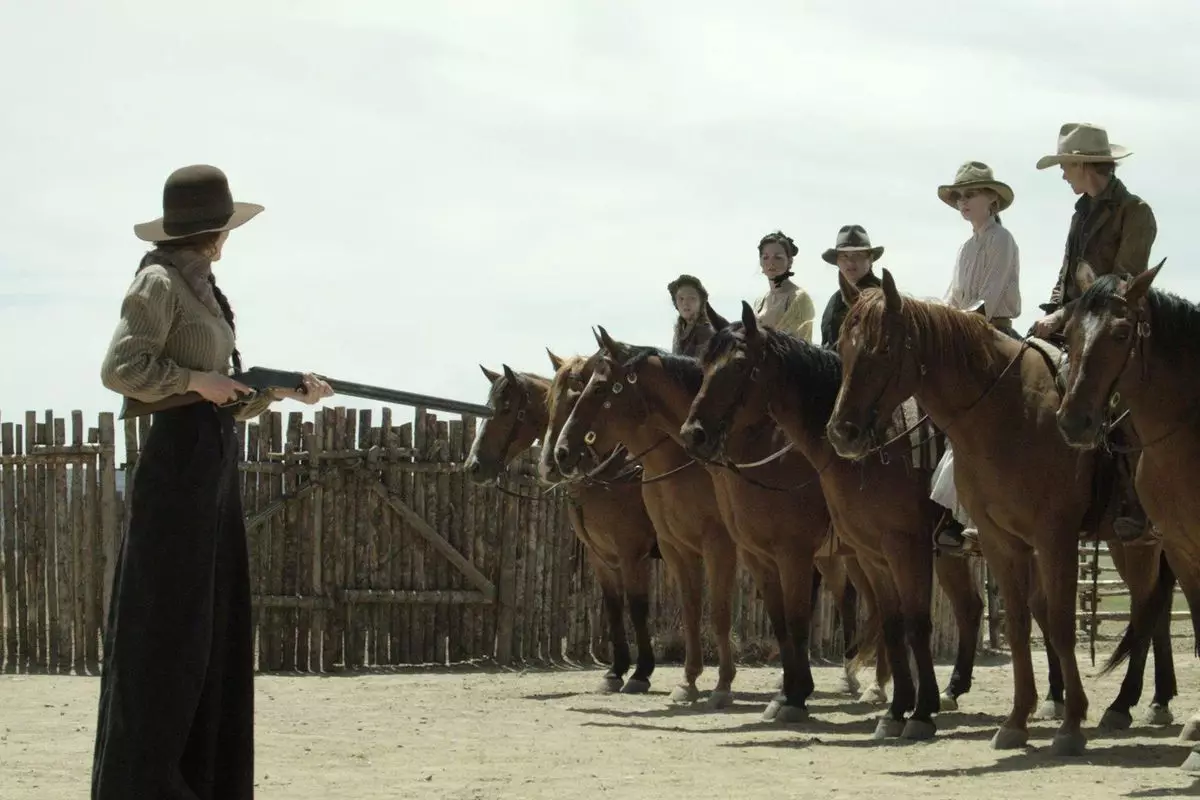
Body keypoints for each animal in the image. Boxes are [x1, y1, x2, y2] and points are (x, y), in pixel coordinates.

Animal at [463, 362, 662, 695]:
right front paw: (615, 671)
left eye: (507, 409)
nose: (473, 467)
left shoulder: (633, 555)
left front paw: (641, 673)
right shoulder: (602, 557)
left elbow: (636, 608)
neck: (612, 472)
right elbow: (613, 608)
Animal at [552, 328, 892, 724]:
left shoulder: (715, 548)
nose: (559, 454)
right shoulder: (674, 550)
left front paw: (721, 685)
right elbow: (689, 611)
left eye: (600, 388)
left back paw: (872, 685)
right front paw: (687, 682)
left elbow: (717, 613)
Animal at [681, 303, 988, 743]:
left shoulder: (804, 553)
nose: (694, 434)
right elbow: (784, 623)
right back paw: (949, 690)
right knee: (968, 607)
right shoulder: (765, 556)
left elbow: (802, 621)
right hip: (946, 553)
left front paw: (796, 698)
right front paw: (789, 693)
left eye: (739, 366)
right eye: (704, 365)